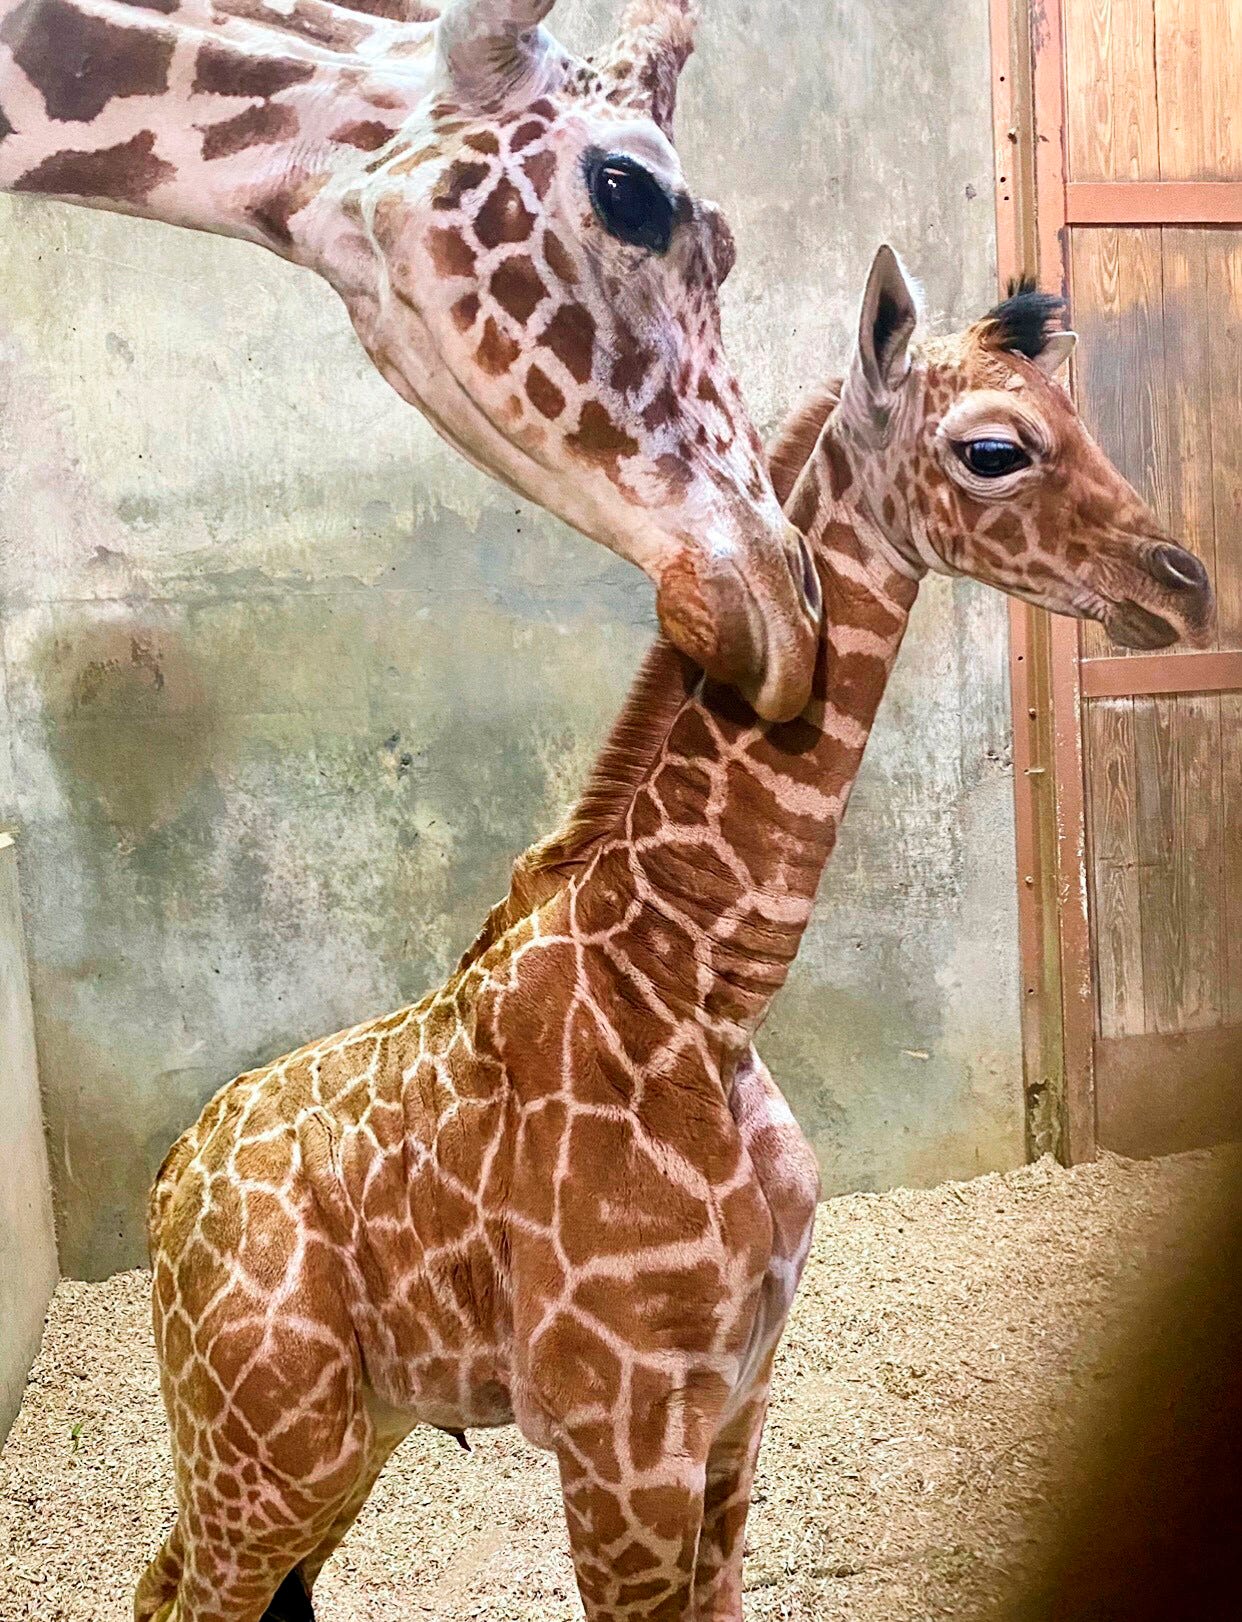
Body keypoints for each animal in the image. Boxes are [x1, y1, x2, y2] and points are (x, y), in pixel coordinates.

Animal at [136, 246, 1214, 1622]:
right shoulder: (621, 1434)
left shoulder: (739, 1398)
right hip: (272, 1443)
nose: (1182, 586)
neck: (694, 984)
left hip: (328, 1438)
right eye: (994, 449)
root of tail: (168, 1184)